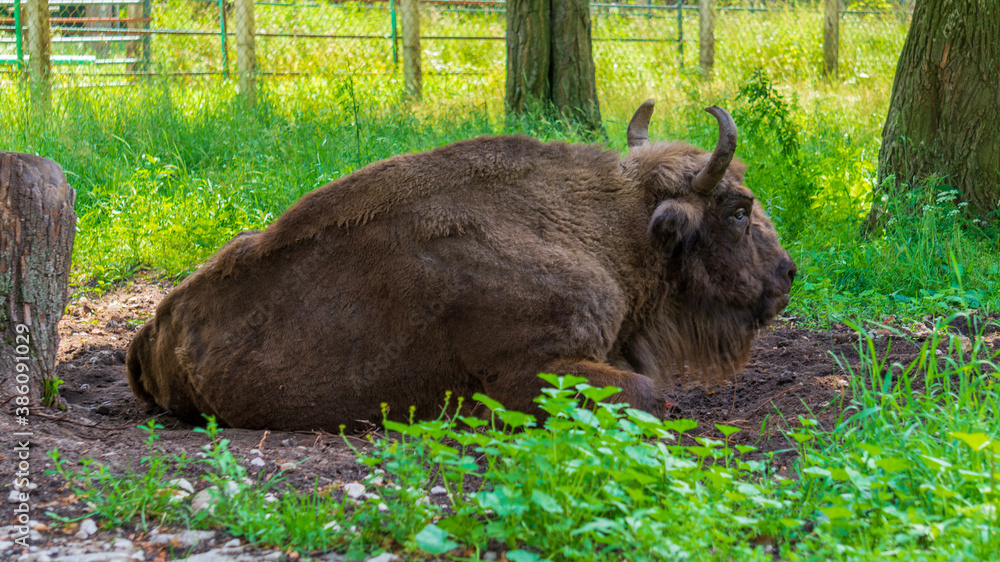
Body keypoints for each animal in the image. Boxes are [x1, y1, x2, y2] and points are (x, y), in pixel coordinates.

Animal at [126, 102, 795, 431]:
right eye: (738, 210)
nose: (788, 274)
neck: (616, 229)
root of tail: (154, 326)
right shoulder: (531, 372)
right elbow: (650, 394)